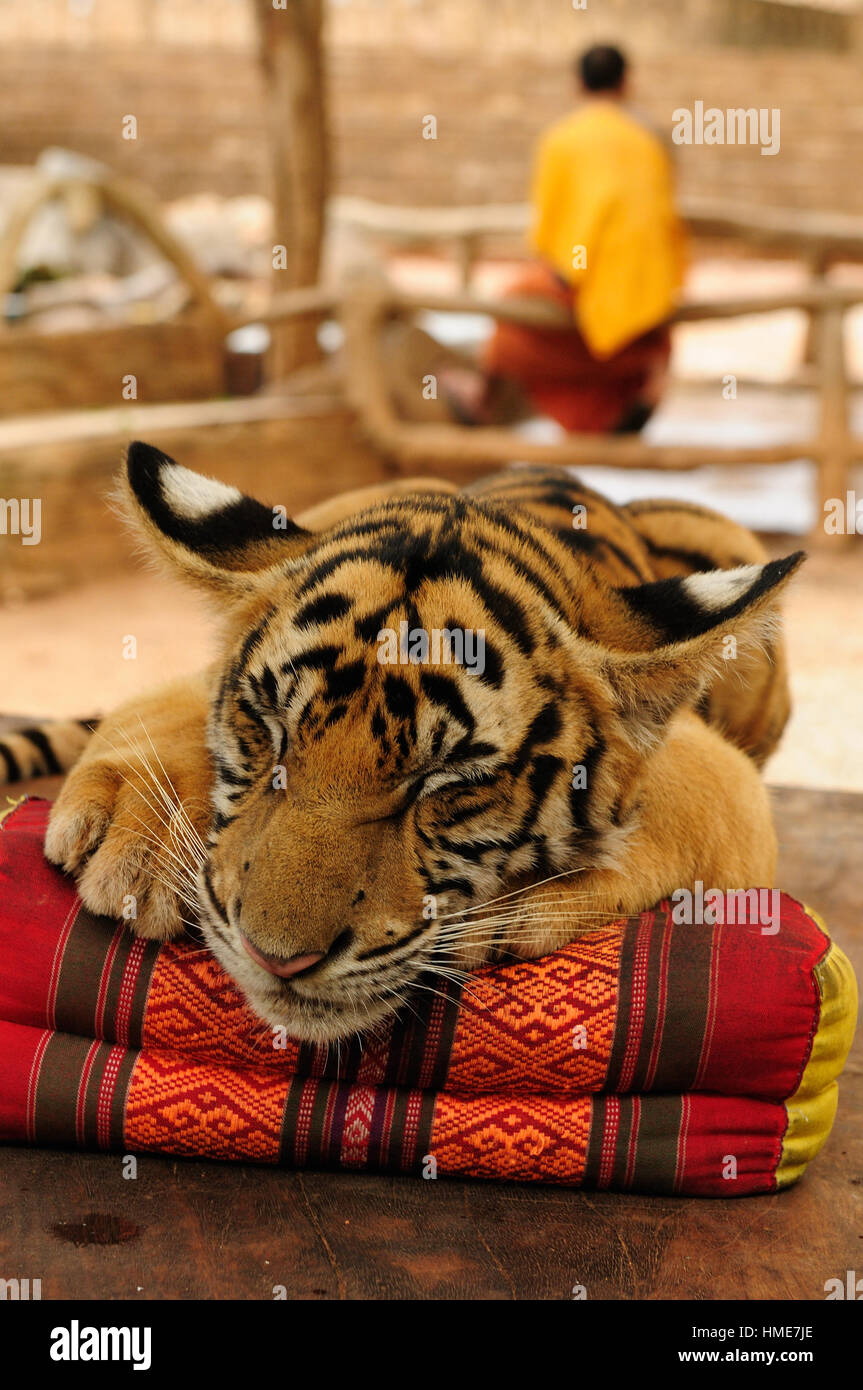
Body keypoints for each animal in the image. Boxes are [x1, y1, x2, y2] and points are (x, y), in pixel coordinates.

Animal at [3, 441, 802, 1043]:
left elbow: (682, 806)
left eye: (449, 782)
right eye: (269, 731)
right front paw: (138, 832)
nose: (276, 959)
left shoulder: (724, 784)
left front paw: (516, 912)